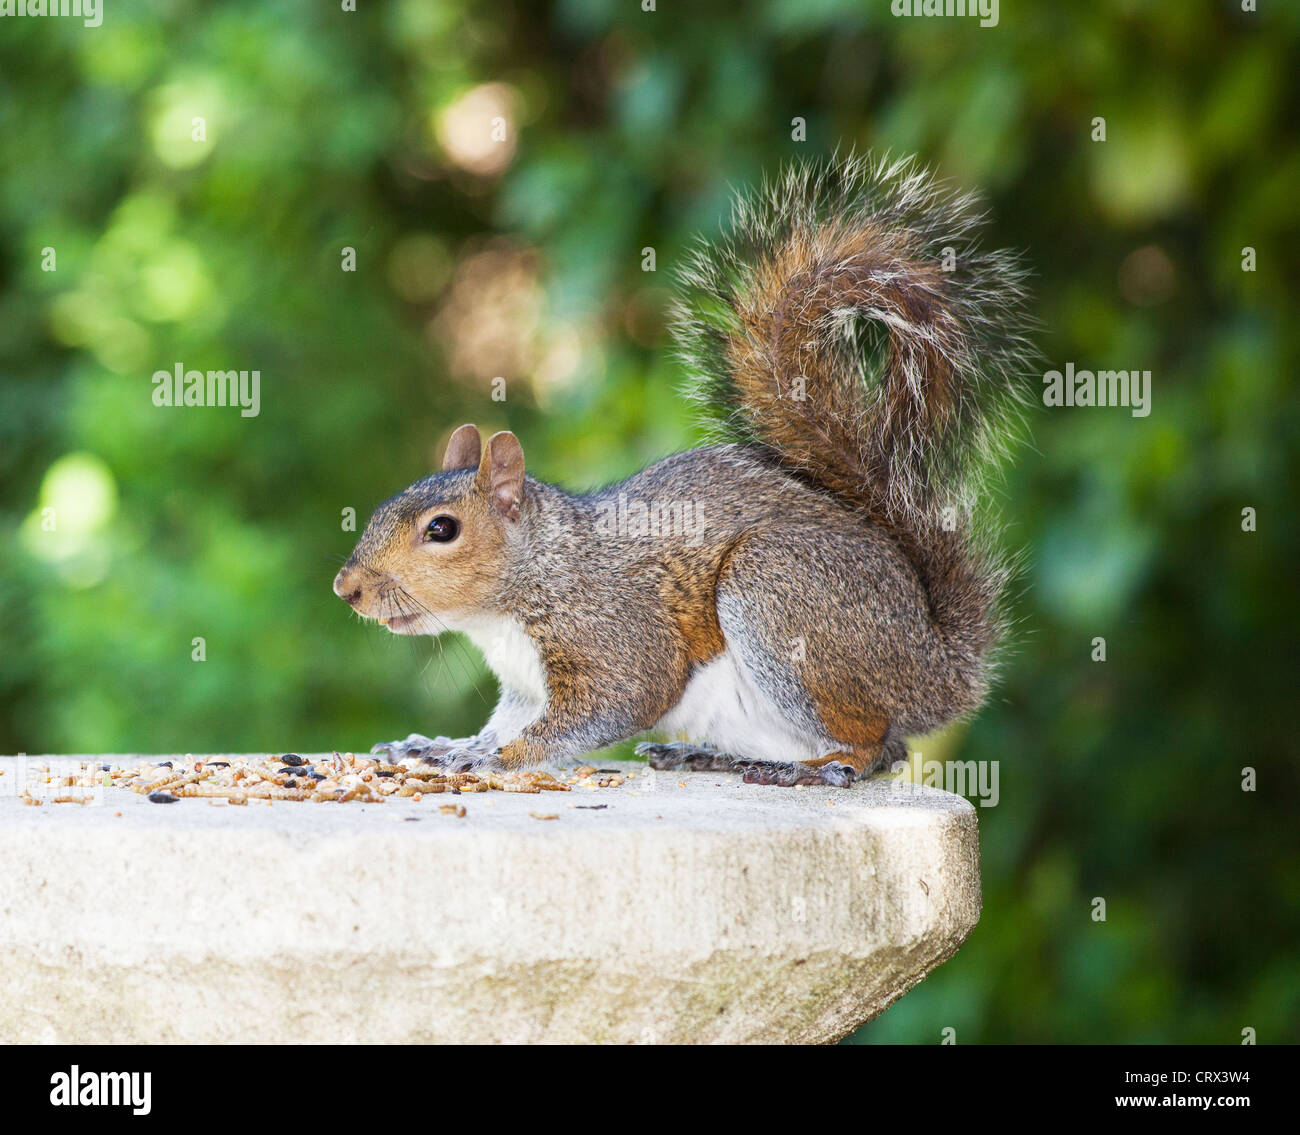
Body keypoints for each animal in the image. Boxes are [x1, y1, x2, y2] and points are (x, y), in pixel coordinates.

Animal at [333, 154, 1034, 787]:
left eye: (442, 530)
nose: (347, 589)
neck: (527, 584)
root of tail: (936, 665)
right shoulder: (527, 686)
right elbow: (506, 721)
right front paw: (441, 744)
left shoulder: (614, 635)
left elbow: (607, 705)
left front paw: (489, 760)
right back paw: (711, 756)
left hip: (782, 597)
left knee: (877, 745)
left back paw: (812, 769)